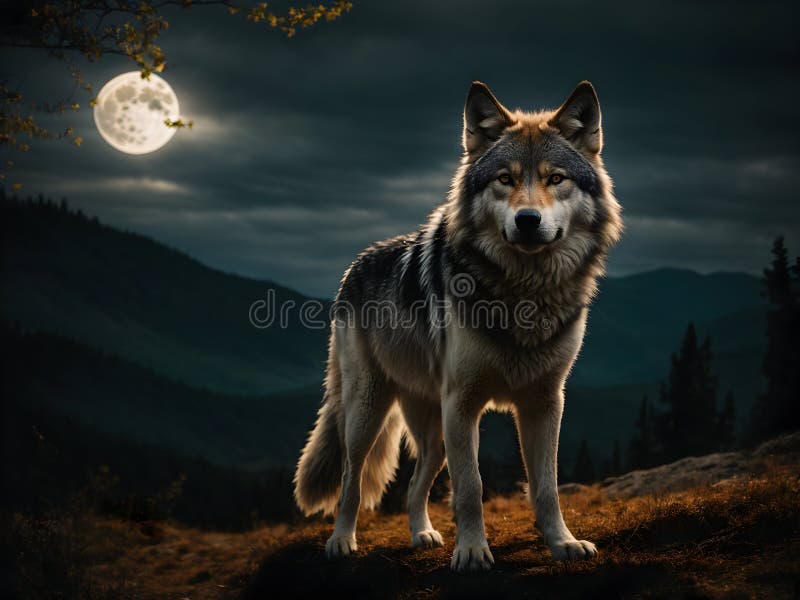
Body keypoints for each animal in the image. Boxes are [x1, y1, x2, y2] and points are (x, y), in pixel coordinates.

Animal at [294, 81, 622, 571]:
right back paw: (341, 541)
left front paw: (562, 543)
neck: (524, 294)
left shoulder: (545, 402)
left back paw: (422, 535)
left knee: (414, 487)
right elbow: (471, 487)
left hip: (434, 433)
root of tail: (354, 266)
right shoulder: (463, 403)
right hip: (368, 412)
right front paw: (471, 551)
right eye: (504, 179)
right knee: (352, 479)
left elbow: (546, 487)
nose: (528, 220)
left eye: (555, 179)